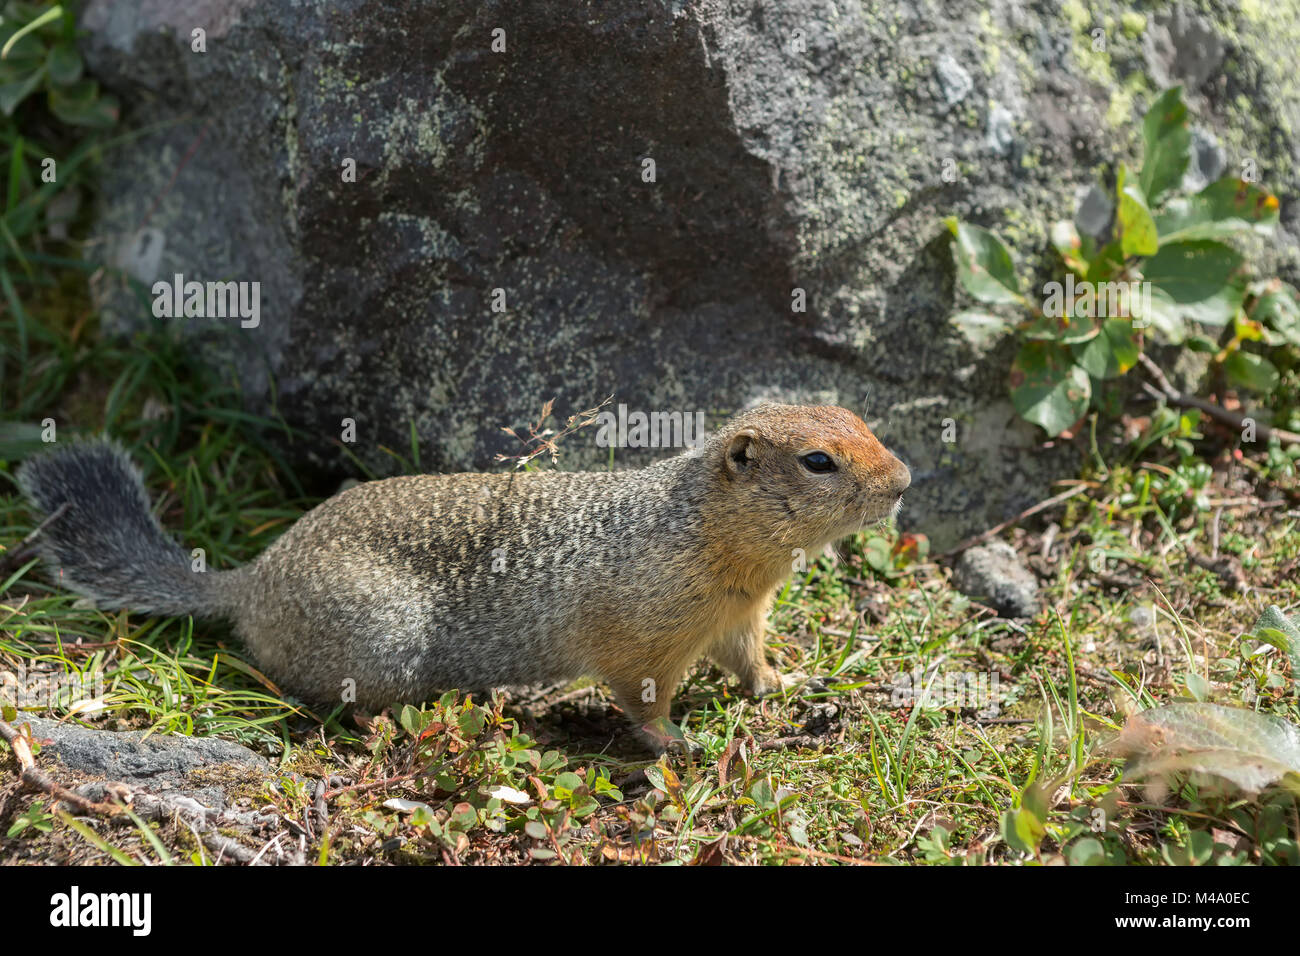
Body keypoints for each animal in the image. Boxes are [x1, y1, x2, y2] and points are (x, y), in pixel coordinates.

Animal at [17, 403, 910, 751]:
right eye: (819, 461)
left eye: (862, 422)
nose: (904, 481)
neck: (710, 535)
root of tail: (250, 581)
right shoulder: (646, 632)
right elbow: (640, 694)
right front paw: (674, 743)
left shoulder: (737, 616)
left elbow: (750, 663)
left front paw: (789, 684)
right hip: (379, 638)